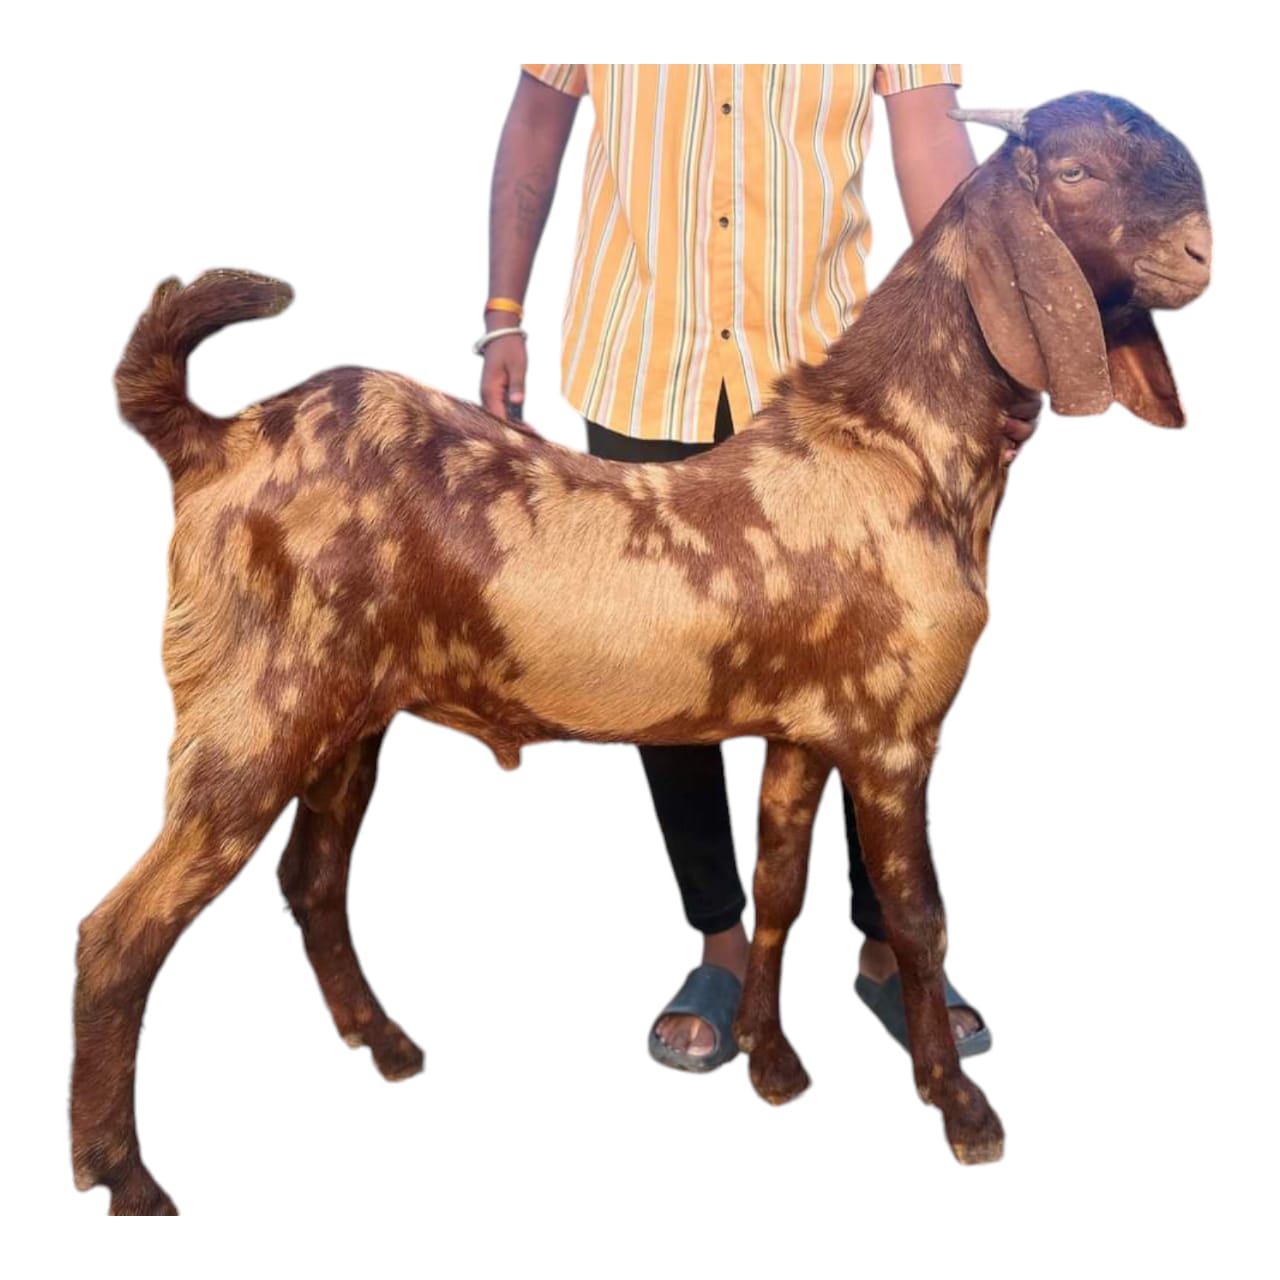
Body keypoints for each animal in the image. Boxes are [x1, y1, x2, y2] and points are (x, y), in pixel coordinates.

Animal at [72, 91, 1210, 1214]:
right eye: (1075, 173)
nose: (1200, 251)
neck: (893, 448)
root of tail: (215, 438)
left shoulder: (806, 729)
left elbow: (780, 882)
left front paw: (771, 1063)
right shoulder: (894, 734)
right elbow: (917, 913)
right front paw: (961, 1108)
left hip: (347, 718)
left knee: (311, 877)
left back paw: (385, 1043)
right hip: (250, 713)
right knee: (120, 931)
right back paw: (127, 1178)